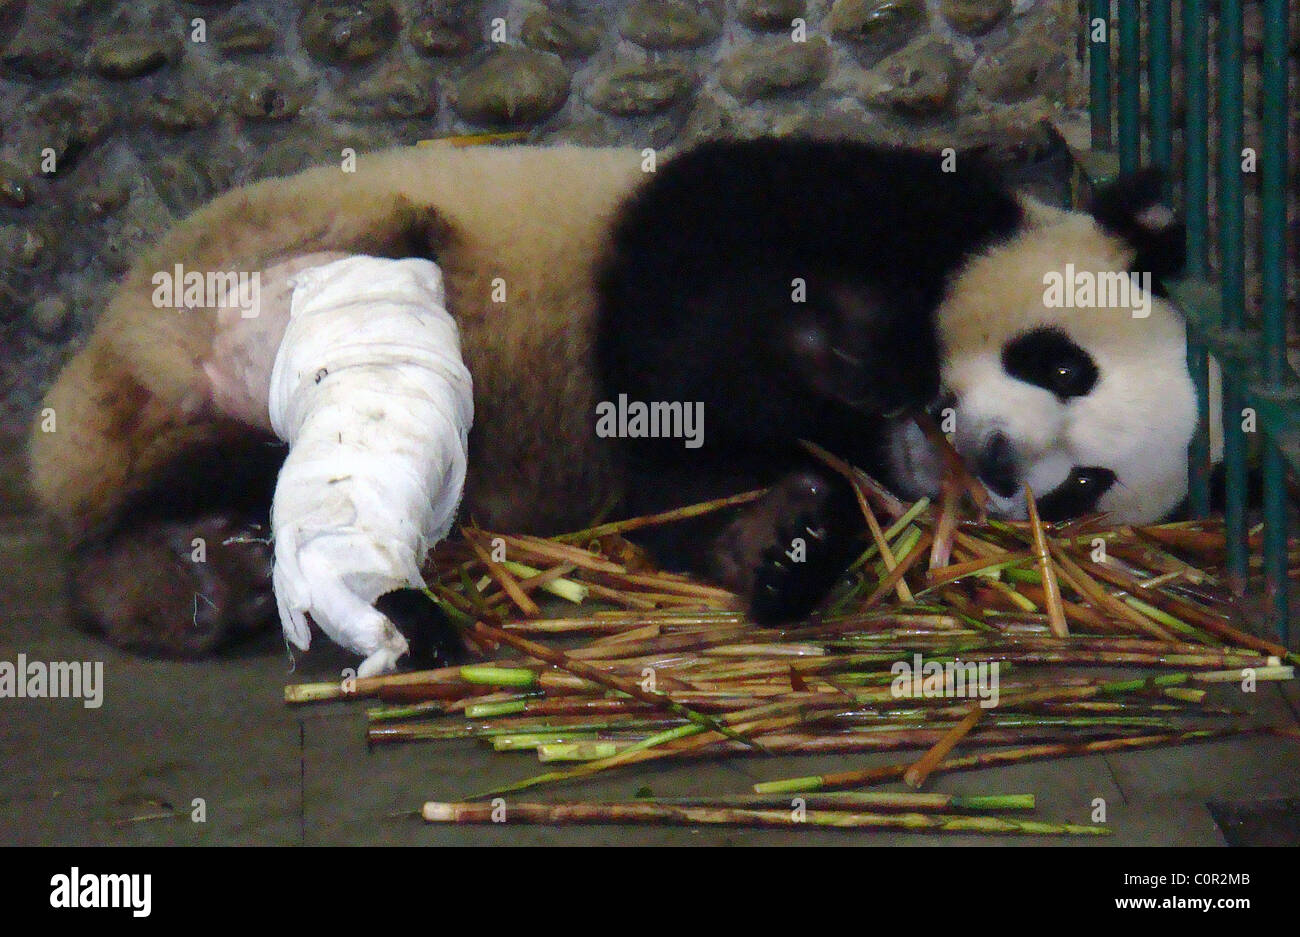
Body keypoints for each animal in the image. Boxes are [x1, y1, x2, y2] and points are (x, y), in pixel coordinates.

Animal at [25, 137, 1193, 673]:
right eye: (1063, 364)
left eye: (1083, 486)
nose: (996, 460)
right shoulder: (833, 200)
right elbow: (680, 294)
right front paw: (857, 351)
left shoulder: (701, 460)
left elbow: (693, 496)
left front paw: (789, 545)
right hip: (254, 278)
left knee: (190, 494)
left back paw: (184, 579)